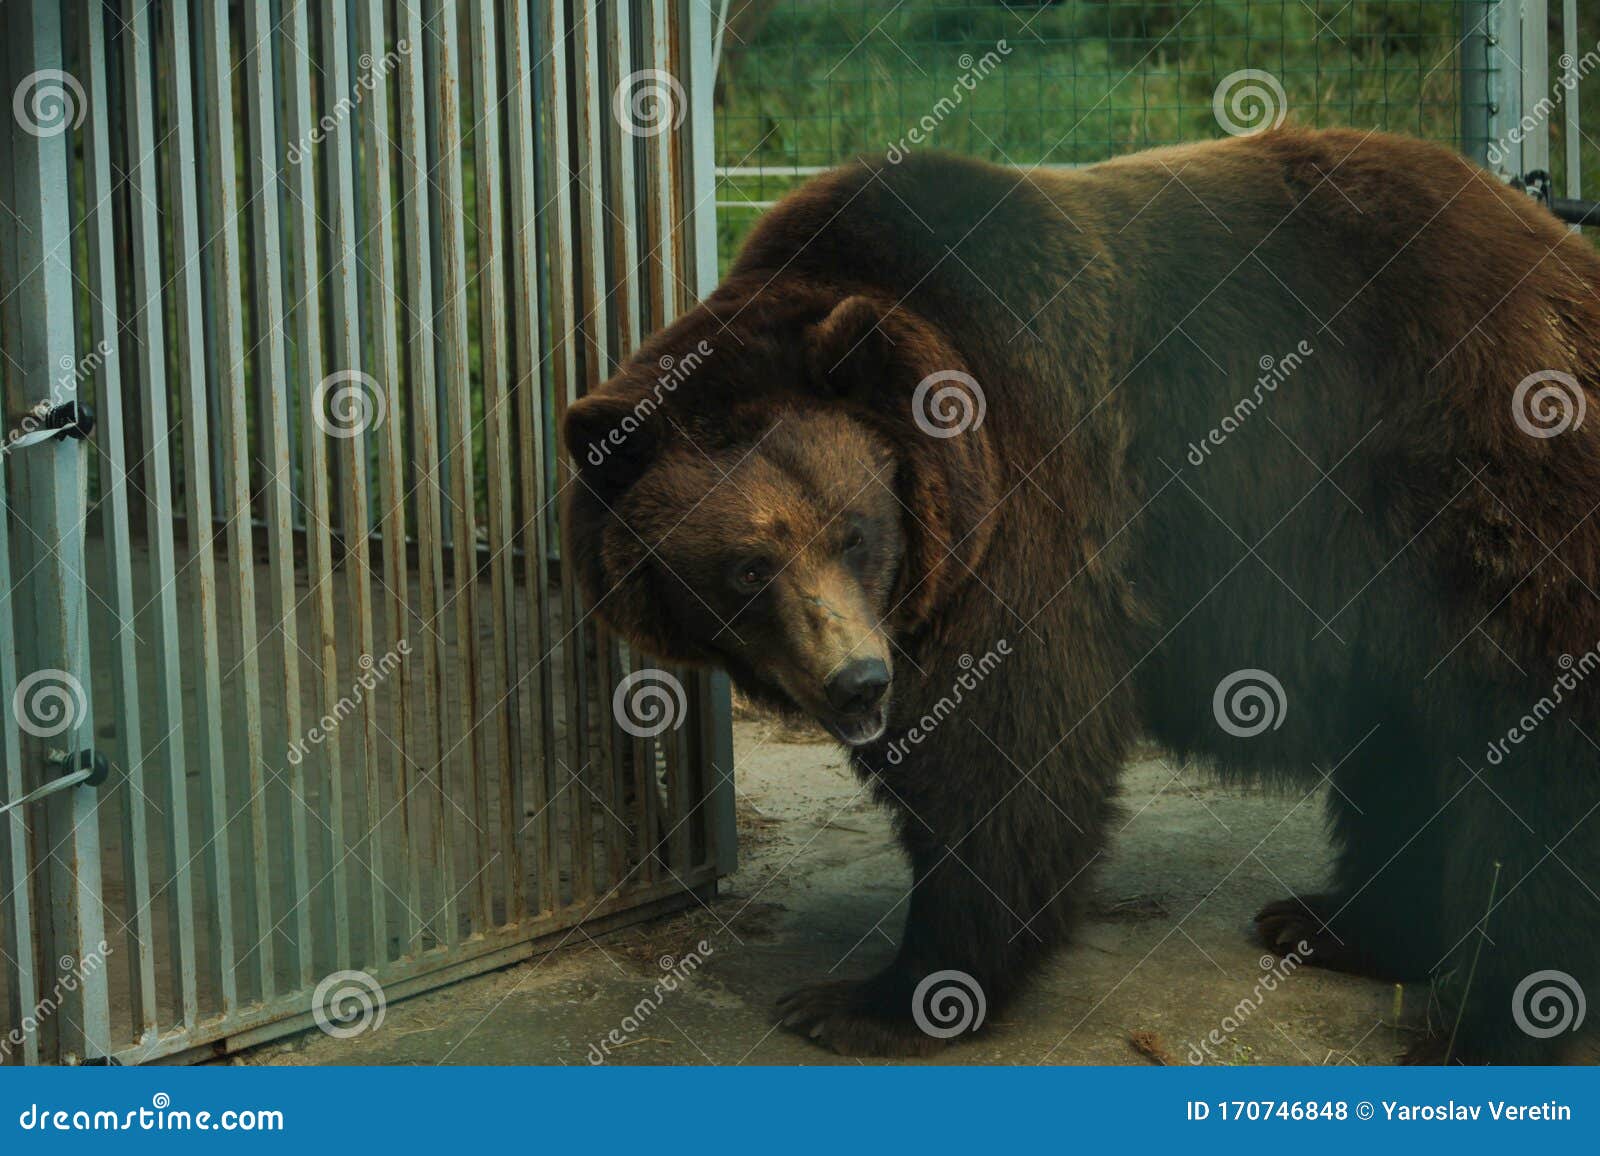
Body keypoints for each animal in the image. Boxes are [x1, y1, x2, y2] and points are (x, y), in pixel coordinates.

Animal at [562, 126, 1600, 1063]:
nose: (857, 681)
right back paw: (1334, 923)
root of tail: (1559, 256)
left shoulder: (1034, 503)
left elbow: (1006, 752)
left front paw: (876, 999)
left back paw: (1486, 1022)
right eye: (748, 566)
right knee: (1410, 747)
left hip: (1477, 480)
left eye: (855, 535)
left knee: (1535, 764)